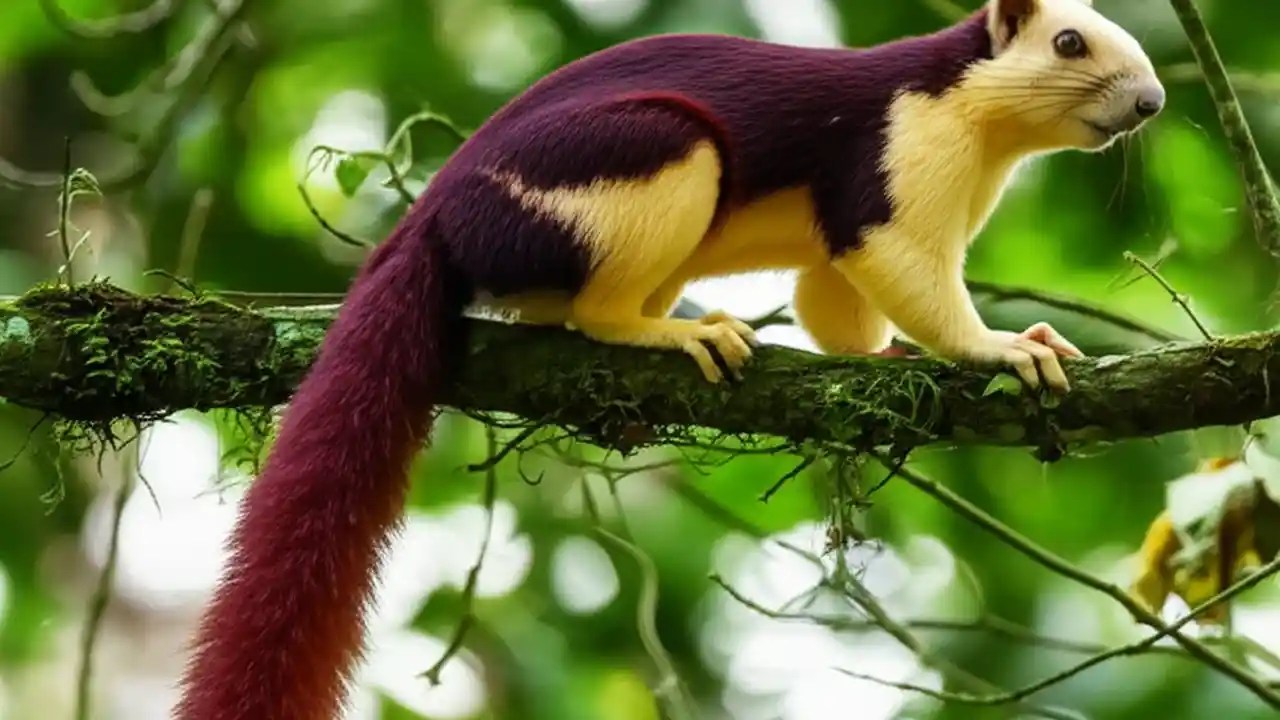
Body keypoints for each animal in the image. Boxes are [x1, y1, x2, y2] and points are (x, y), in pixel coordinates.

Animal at [175, 1, 1163, 717]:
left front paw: (885, 349)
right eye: (1069, 41)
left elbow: (833, 302)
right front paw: (1006, 344)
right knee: (598, 311)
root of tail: (432, 221)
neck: (979, 124)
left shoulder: (859, 232)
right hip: (652, 149)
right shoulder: (895, 158)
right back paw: (681, 332)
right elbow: (900, 269)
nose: (1151, 102)